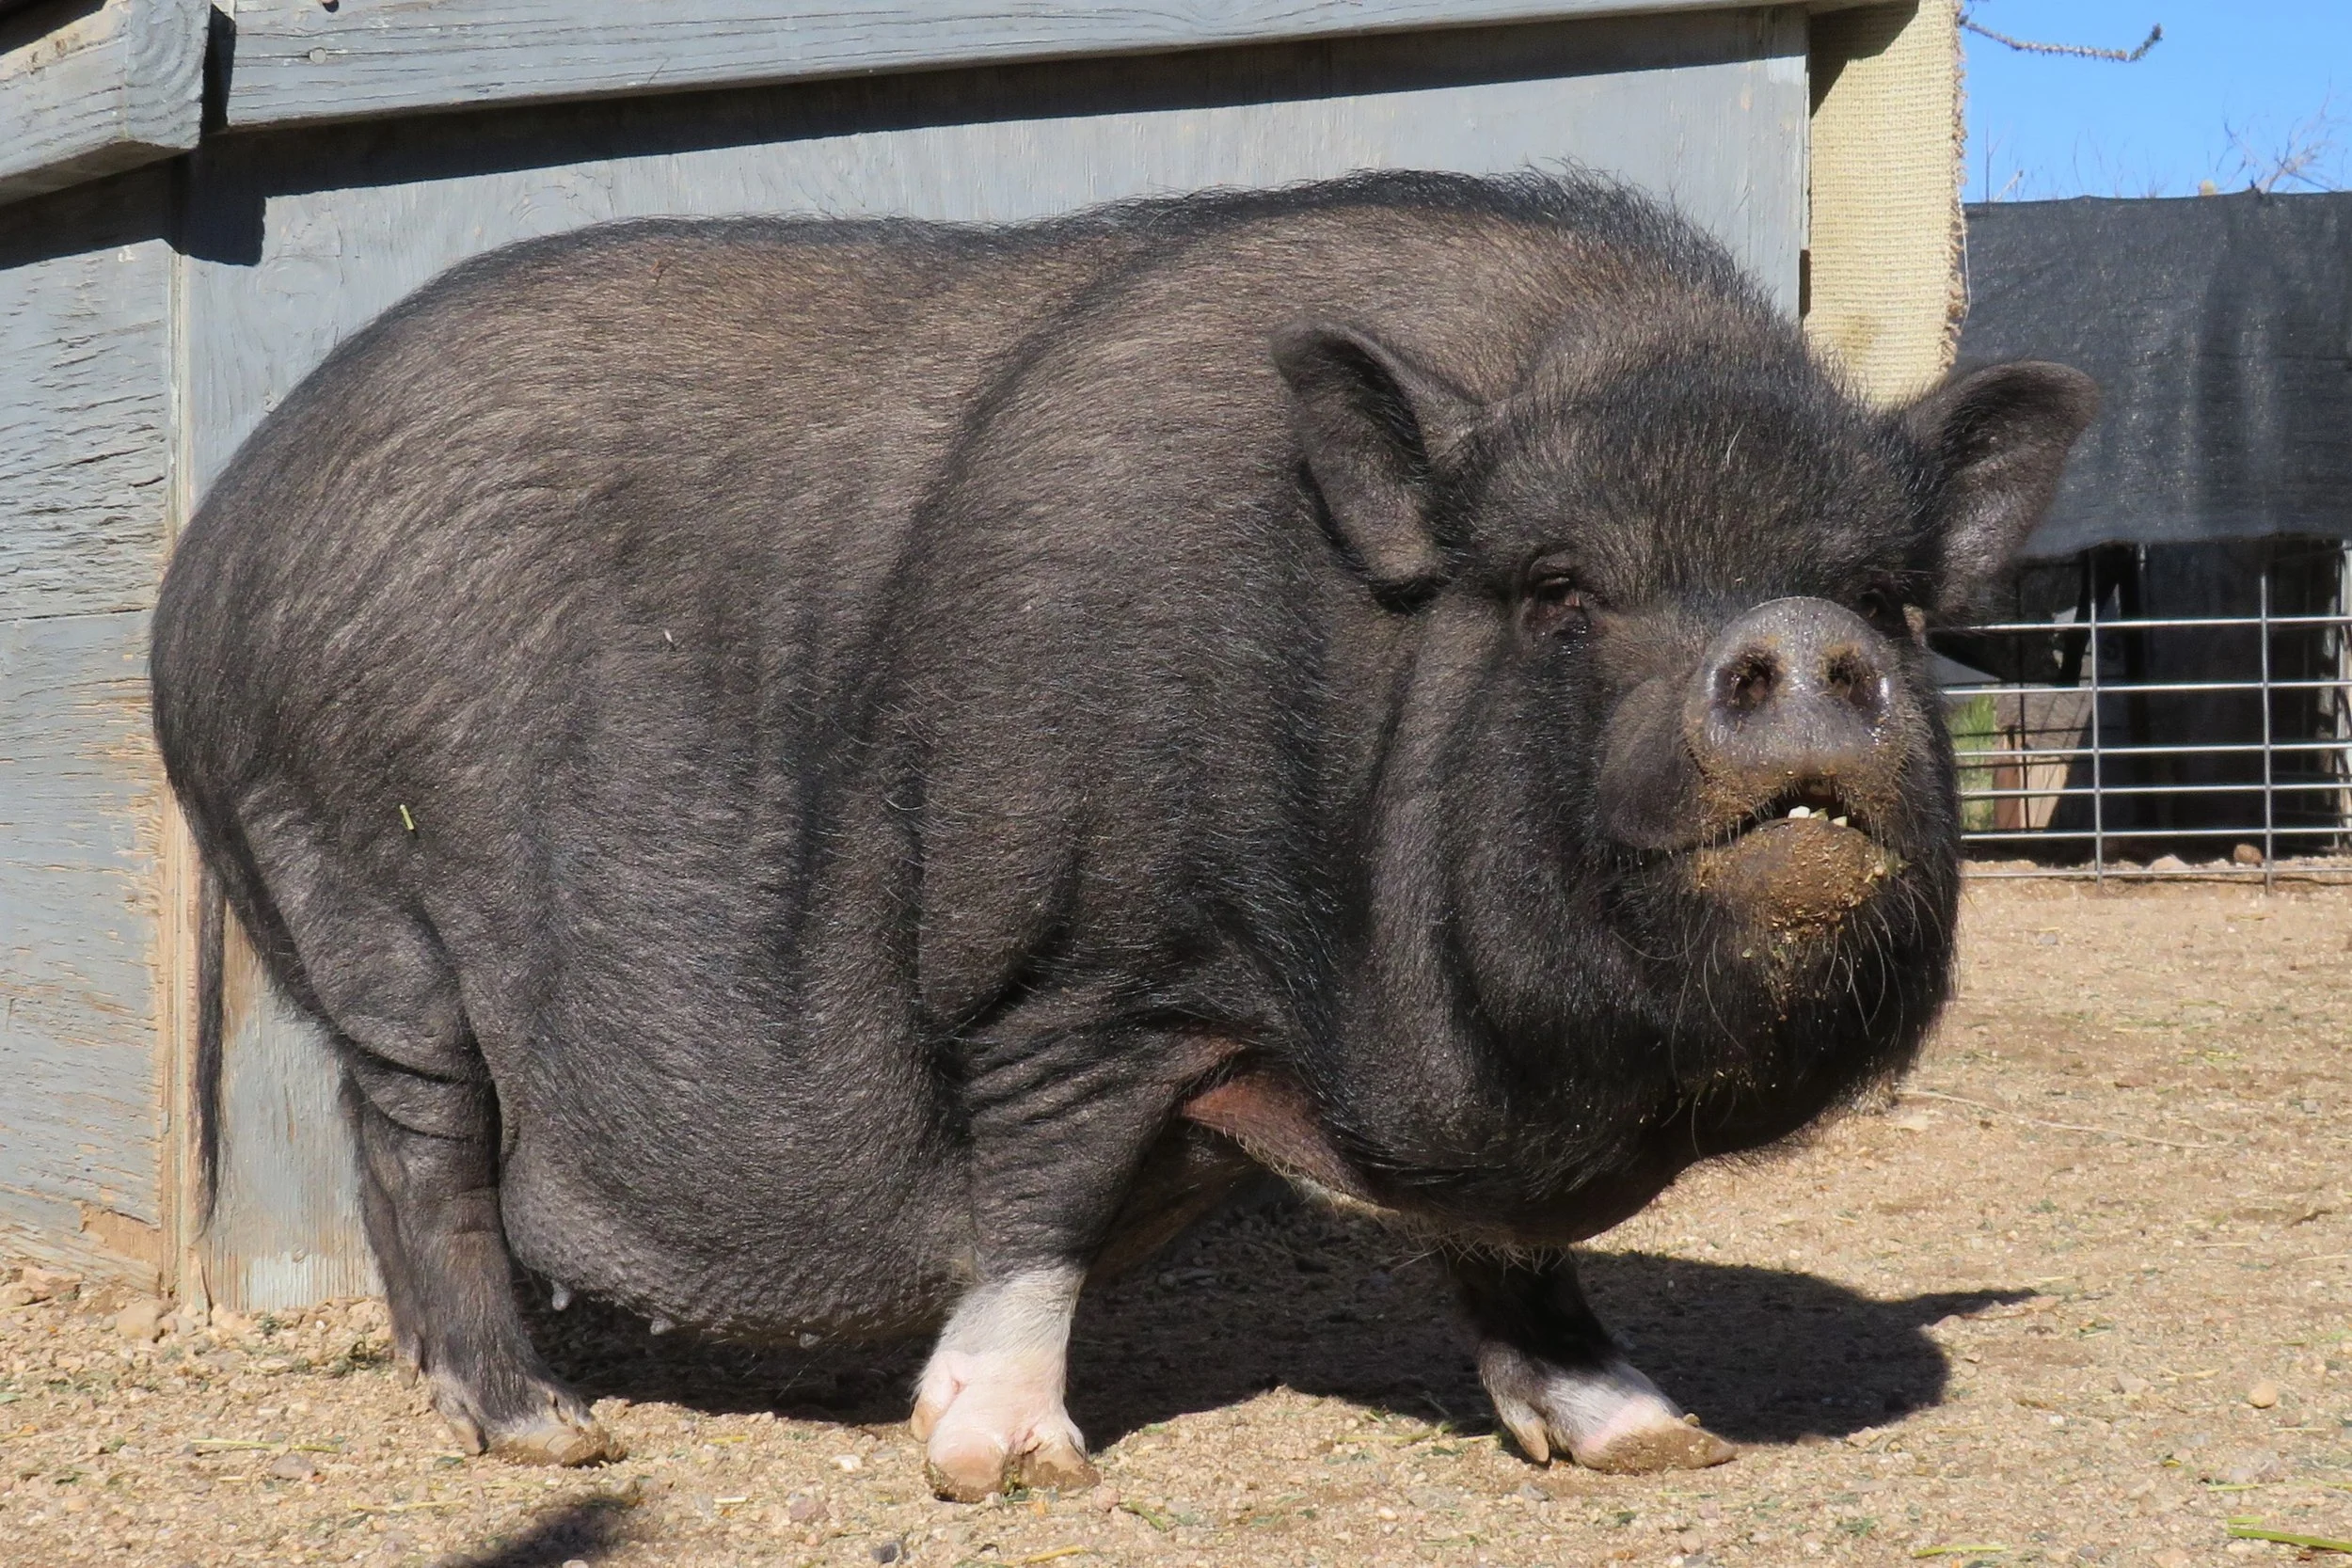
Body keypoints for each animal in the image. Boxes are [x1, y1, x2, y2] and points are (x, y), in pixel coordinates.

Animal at [149, 170, 2094, 1499]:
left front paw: (1656, 1443)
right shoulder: (1067, 967)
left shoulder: (1447, 1088)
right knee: (422, 1154)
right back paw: (550, 1434)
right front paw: (1007, 1465)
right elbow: (1048, 1187)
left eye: (1886, 598)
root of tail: (209, 560)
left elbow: (1510, 1248)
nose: (1802, 644)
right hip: (364, 898)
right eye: (1556, 590)